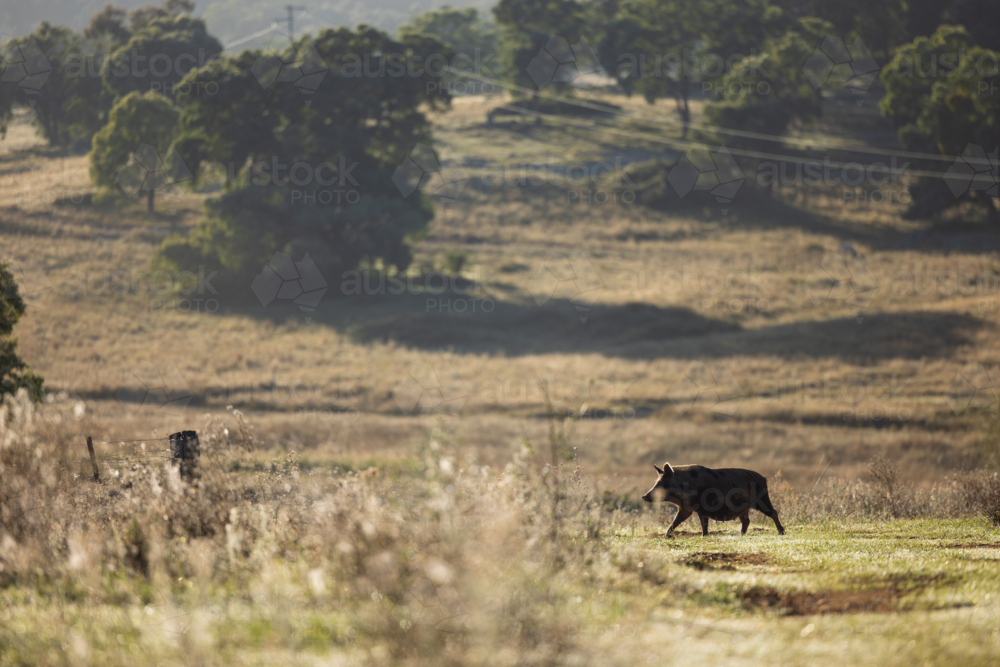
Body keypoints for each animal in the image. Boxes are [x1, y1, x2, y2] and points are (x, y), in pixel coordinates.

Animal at [641, 462, 785, 536]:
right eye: (656, 482)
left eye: (663, 483)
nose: (644, 496)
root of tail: (764, 478)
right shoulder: (686, 509)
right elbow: (675, 521)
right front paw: (666, 535)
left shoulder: (703, 508)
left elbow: (704, 523)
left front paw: (704, 536)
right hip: (744, 509)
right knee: (746, 520)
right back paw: (741, 534)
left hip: (762, 499)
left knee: (773, 512)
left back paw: (781, 532)